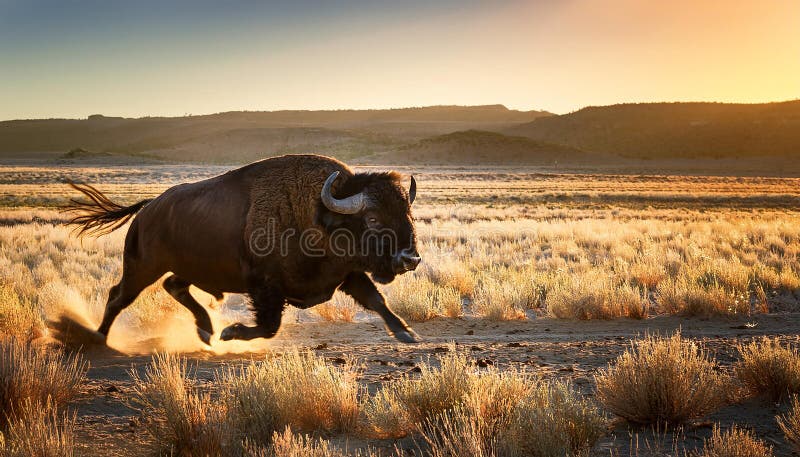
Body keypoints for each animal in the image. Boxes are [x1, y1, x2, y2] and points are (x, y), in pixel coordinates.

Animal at [65, 154, 422, 345]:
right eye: (372, 218)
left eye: (408, 213)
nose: (411, 258)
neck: (320, 215)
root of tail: (148, 208)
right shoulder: (265, 287)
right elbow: (268, 327)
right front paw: (230, 332)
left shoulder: (348, 274)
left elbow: (376, 299)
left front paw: (406, 333)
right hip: (142, 267)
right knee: (119, 296)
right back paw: (100, 337)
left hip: (185, 269)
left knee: (174, 286)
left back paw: (205, 330)